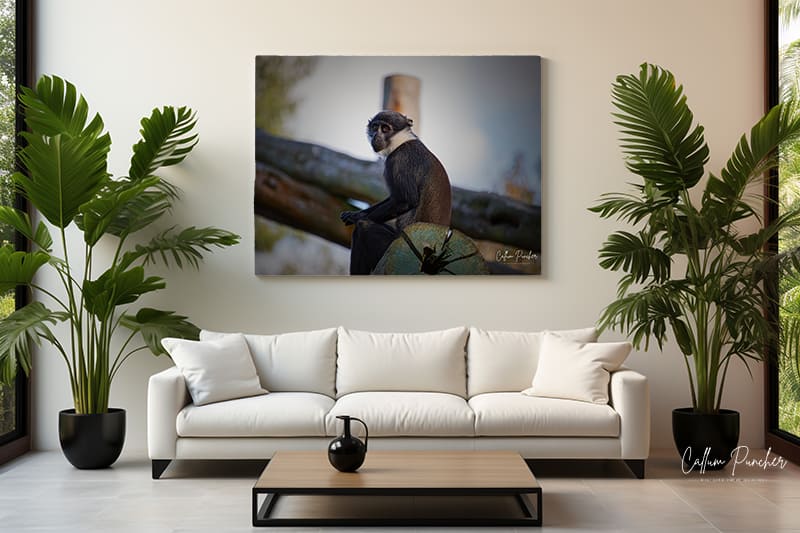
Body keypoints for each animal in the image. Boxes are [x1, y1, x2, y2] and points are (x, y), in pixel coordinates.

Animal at [340, 111, 452, 275]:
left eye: (386, 129)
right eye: (375, 127)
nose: (376, 136)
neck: (402, 141)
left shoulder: (398, 160)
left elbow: (406, 200)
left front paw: (357, 217)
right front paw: (353, 214)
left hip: (395, 247)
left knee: (364, 228)